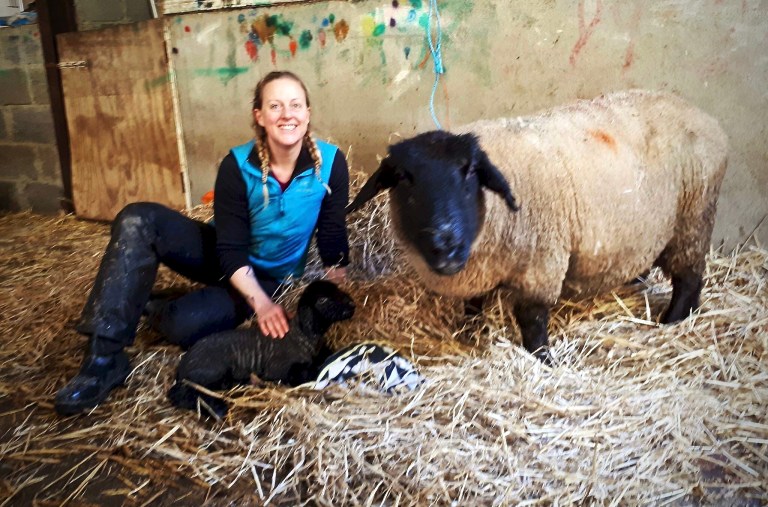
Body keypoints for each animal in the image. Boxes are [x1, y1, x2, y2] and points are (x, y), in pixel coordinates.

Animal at [167, 280, 355, 417]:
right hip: (210, 370)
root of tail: (183, 365)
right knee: (182, 393)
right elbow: (309, 373)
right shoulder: (280, 370)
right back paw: (217, 408)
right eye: (324, 300)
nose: (352, 304)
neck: (302, 335)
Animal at [347, 90, 728, 363]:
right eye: (403, 178)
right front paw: (472, 329)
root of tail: (706, 118)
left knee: (690, 277)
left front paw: (542, 359)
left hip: (692, 220)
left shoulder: (541, 264)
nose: (446, 244)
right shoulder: (483, 266)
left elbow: (531, 320)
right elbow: (474, 302)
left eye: (470, 172)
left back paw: (673, 321)